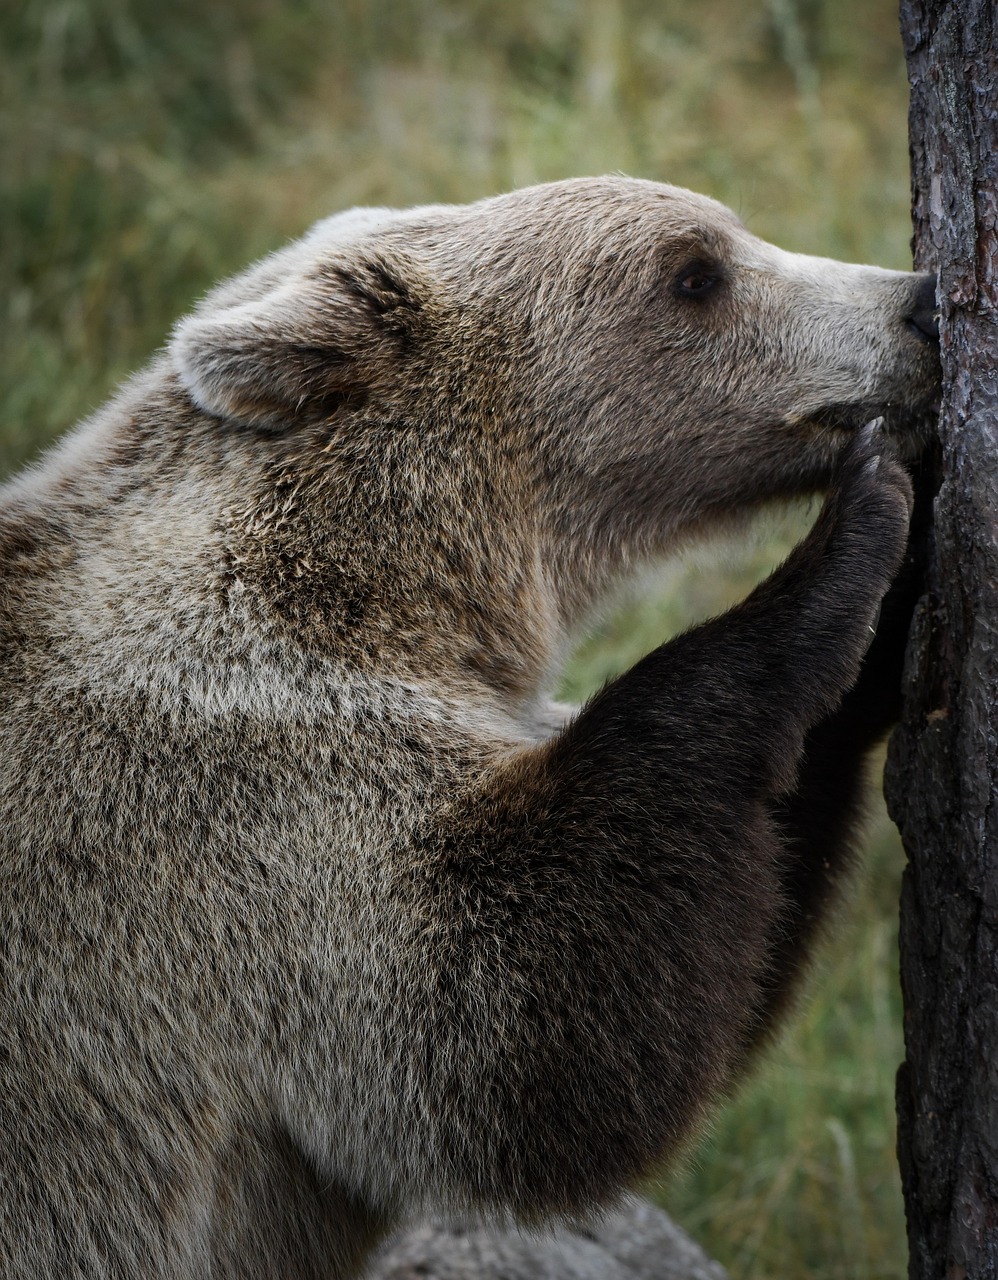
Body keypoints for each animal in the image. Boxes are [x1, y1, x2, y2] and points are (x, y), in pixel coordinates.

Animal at [0, 176, 939, 1278]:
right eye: (695, 272)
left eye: (729, 235)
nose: (916, 304)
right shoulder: (223, 811)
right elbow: (510, 1038)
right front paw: (854, 536)